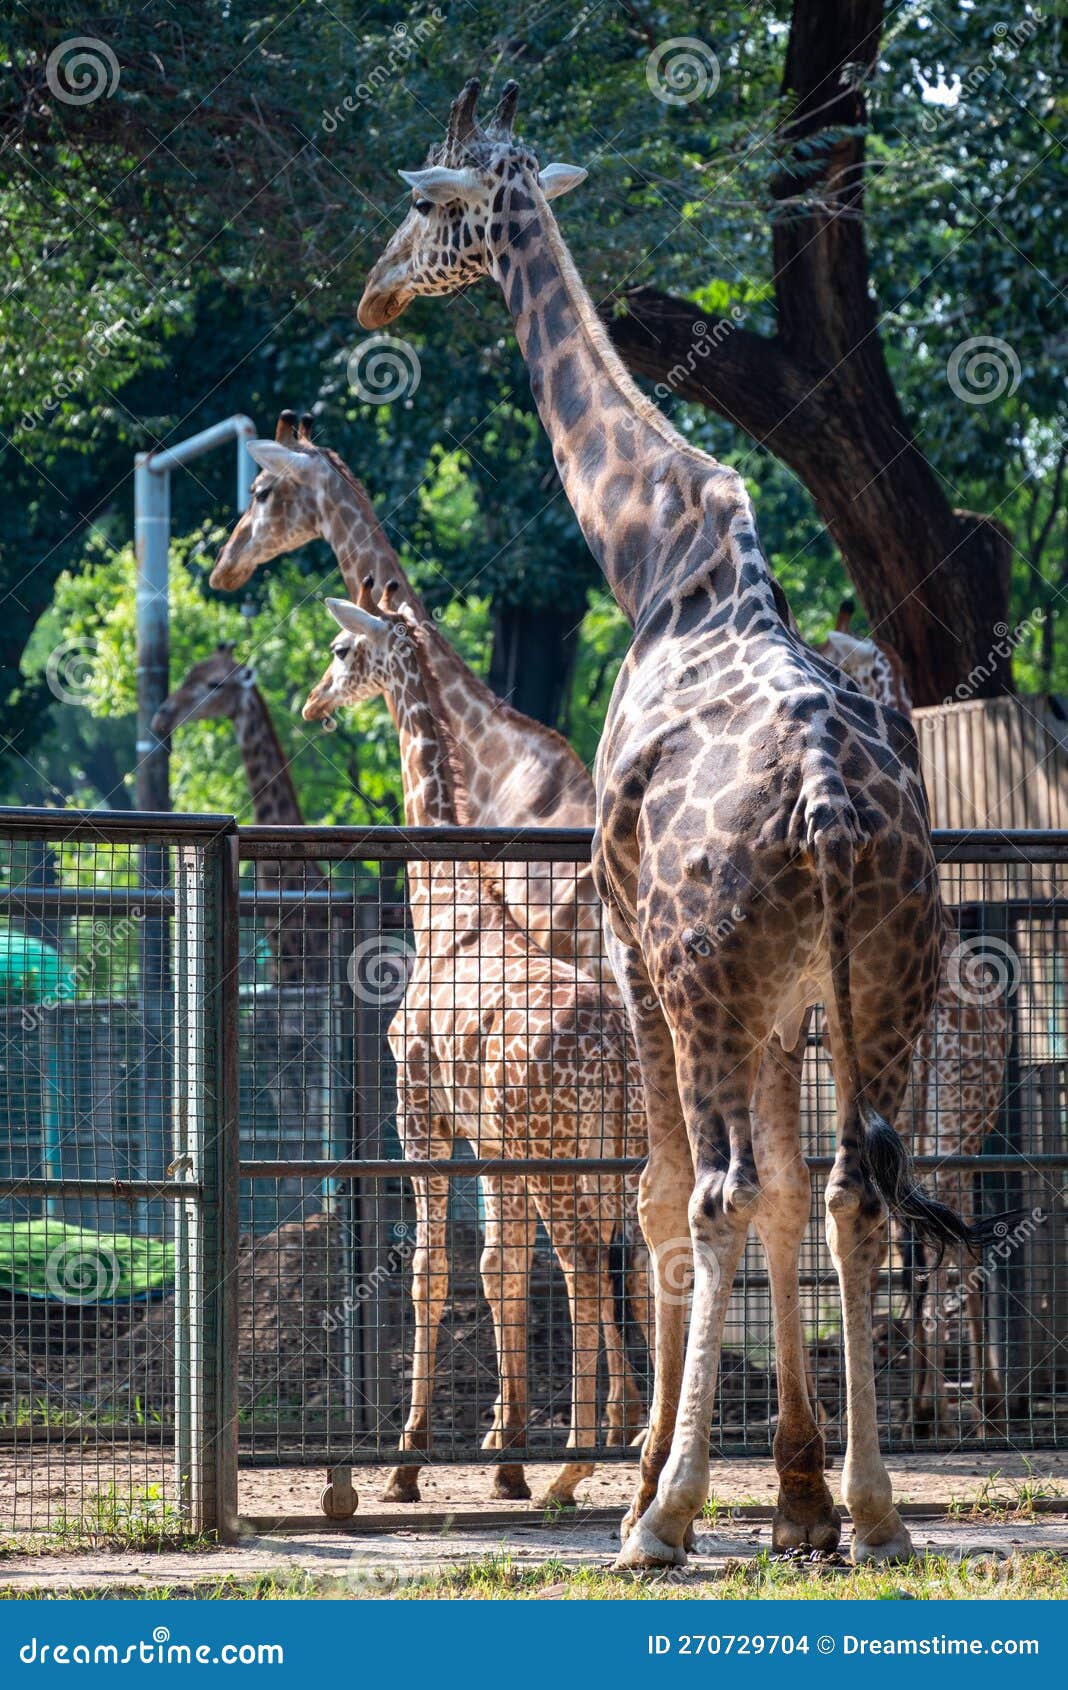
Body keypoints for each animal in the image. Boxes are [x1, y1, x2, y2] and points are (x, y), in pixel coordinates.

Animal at [302, 582, 648, 1502]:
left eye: (341, 651)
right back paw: (638, 1444)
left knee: (586, 1266)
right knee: (642, 1256)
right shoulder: (494, 1140)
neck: (447, 904)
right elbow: (499, 1268)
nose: (314, 703)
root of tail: (614, 1051)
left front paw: (410, 1458)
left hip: (560, 1149)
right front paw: (506, 1448)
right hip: (619, 1145)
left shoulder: (420, 1114)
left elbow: (431, 1275)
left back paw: (578, 1464)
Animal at [356, 79, 990, 1567]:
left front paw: (659, 1480)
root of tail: (828, 805)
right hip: (888, 985)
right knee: (853, 1195)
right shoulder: (787, 999)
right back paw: (878, 1513)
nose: (372, 294)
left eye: (425, 207)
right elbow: (791, 1196)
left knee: (707, 1195)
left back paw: (664, 1516)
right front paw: (803, 1499)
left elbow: (663, 1197)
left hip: (703, 978)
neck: (654, 555)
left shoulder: (640, 953)